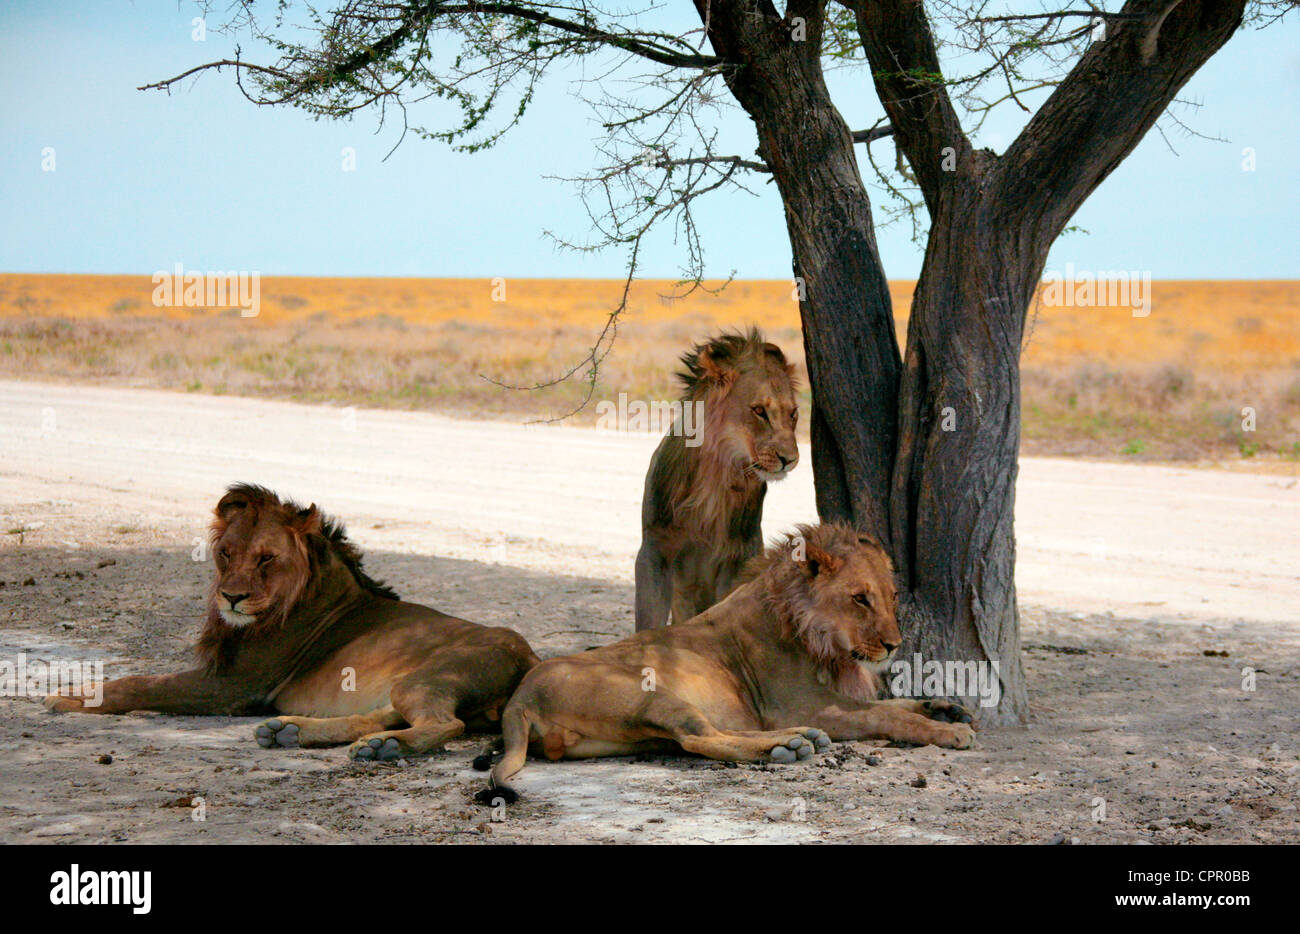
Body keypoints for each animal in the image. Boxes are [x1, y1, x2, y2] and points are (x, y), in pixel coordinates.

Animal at [45, 484, 539, 762]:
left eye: (266, 558)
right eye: (226, 553)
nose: (232, 597)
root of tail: (531, 658)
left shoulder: (233, 686)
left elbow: (139, 684)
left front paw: (73, 697)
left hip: (430, 676)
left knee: (444, 724)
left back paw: (385, 749)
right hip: (409, 682)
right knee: (383, 716)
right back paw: (293, 732)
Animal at [477, 522, 975, 802]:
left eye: (892, 597)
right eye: (859, 599)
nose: (894, 644)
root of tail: (519, 697)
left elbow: (896, 704)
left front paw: (945, 709)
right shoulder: (806, 705)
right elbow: (888, 715)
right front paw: (949, 731)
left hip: (625, 735)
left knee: (703, 735)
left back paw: (797, 741)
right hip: (650, 694)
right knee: (701, 738)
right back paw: (790, 746)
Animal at [635, 328, 800, 630]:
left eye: (793, 413)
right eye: (759, 411)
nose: (790, 459)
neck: (717, 471)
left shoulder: (738, 555)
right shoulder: (655, 548)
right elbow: (649, 619)